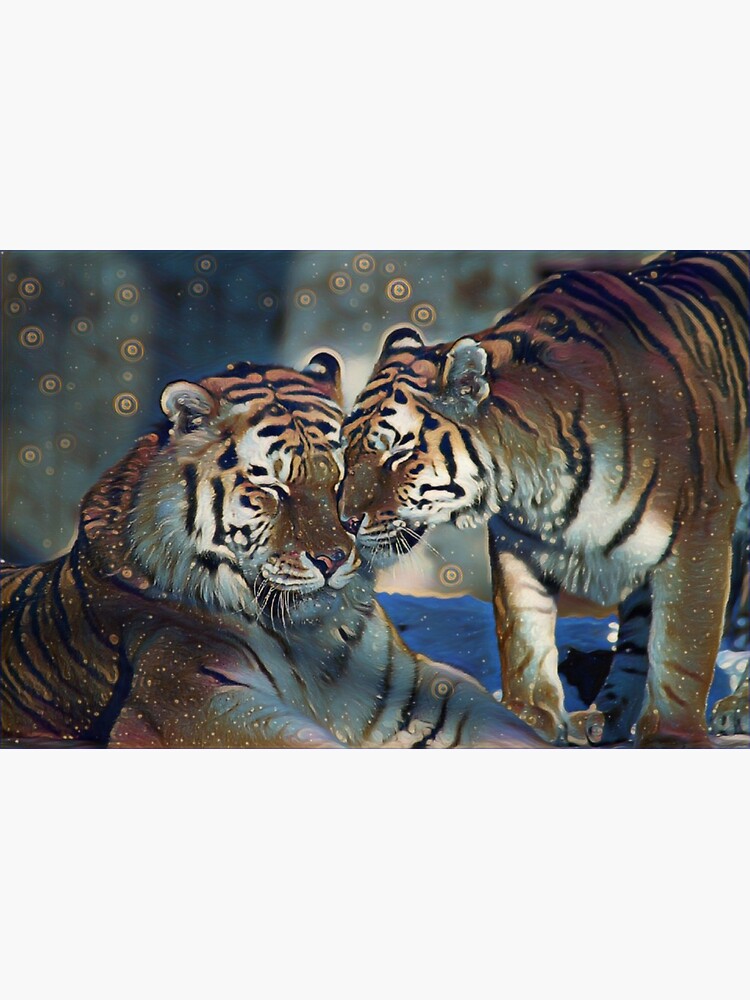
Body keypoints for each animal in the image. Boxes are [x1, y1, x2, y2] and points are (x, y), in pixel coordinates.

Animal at [1, 354, 543, 749]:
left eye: (343, 475)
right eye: (273, 488)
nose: (332, 559)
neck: (314, 638)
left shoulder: (409, 691)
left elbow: (505, 728)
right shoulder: (190, 701)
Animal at [340, 251, 749, 748]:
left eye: (398, 453)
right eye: (346, 448)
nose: (345, 520)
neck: (534, 486)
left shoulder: (700, 529)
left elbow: (682, 647)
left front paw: (672, 737)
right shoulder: (518, 543)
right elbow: (522, 632)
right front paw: (526, 718)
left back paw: (737, 709)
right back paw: (603, 717)